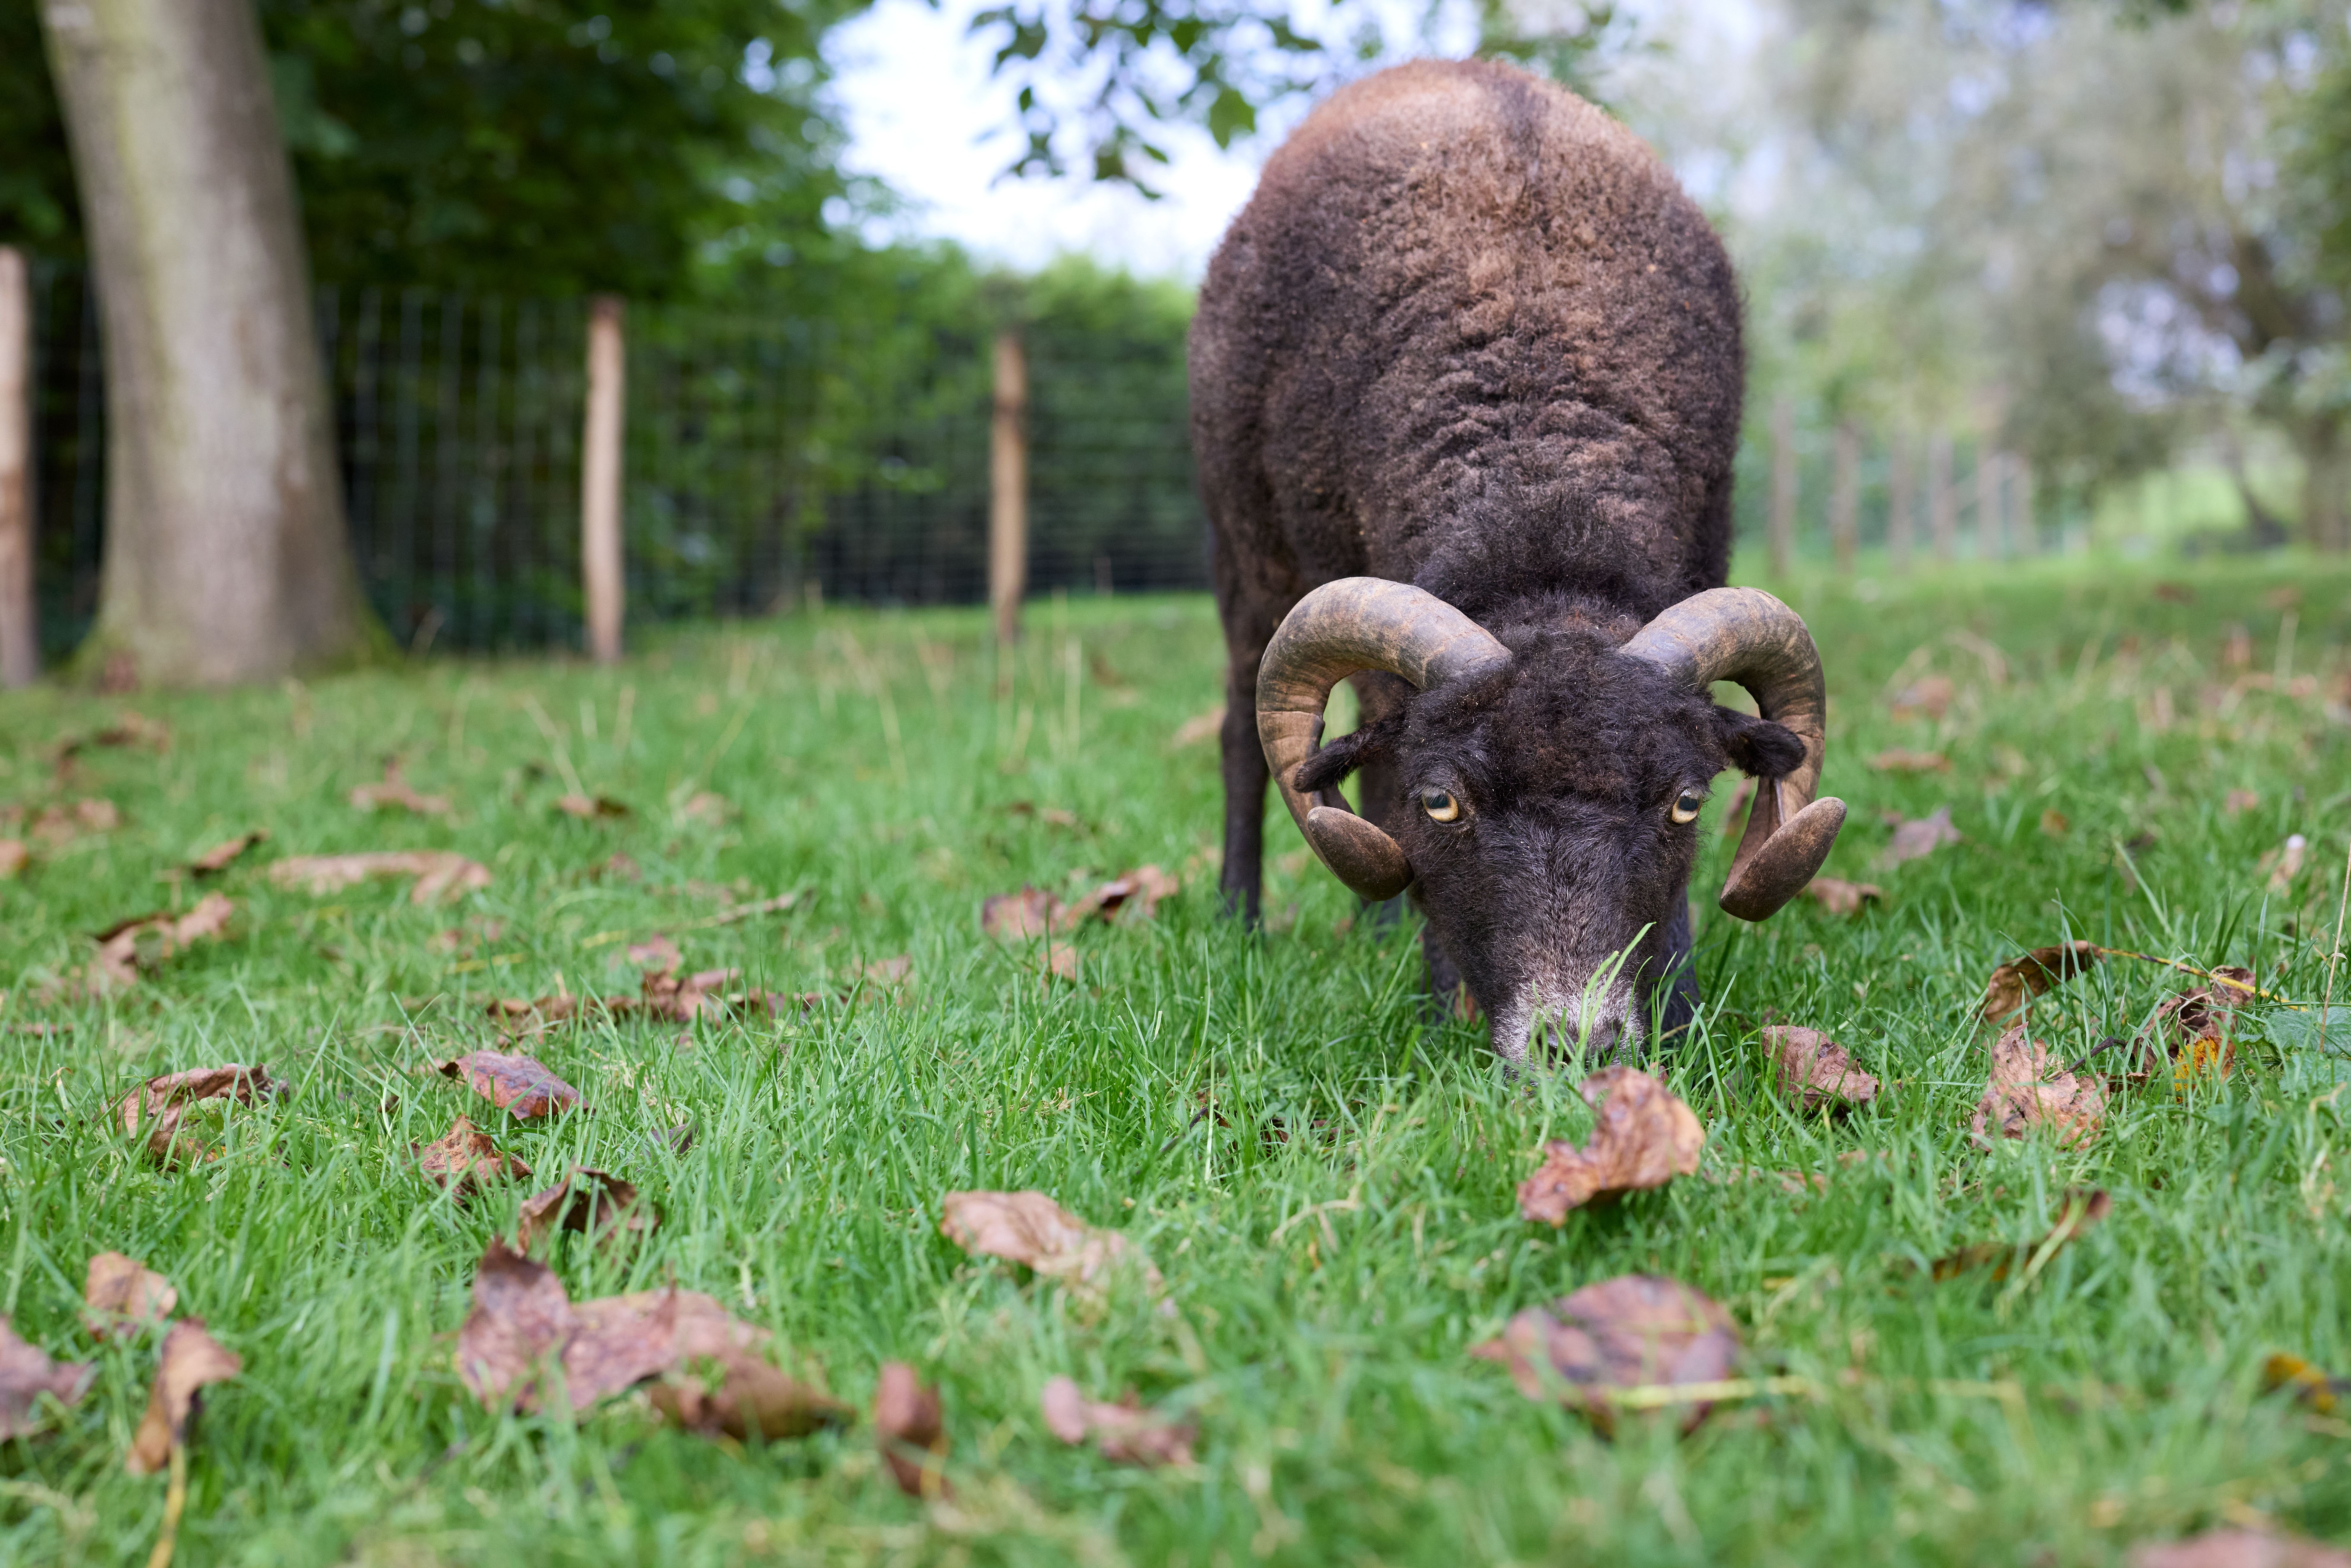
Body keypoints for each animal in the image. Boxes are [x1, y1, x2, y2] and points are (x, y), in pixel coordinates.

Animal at [1190, 57, 1846, 1062]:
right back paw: (1241, 920)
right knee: (1244, 731)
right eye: (1442, 802)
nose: (1573, 1044)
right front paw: (1437, 1010)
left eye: (1687, 804)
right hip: (1246, 542)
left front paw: (1679, 1014)